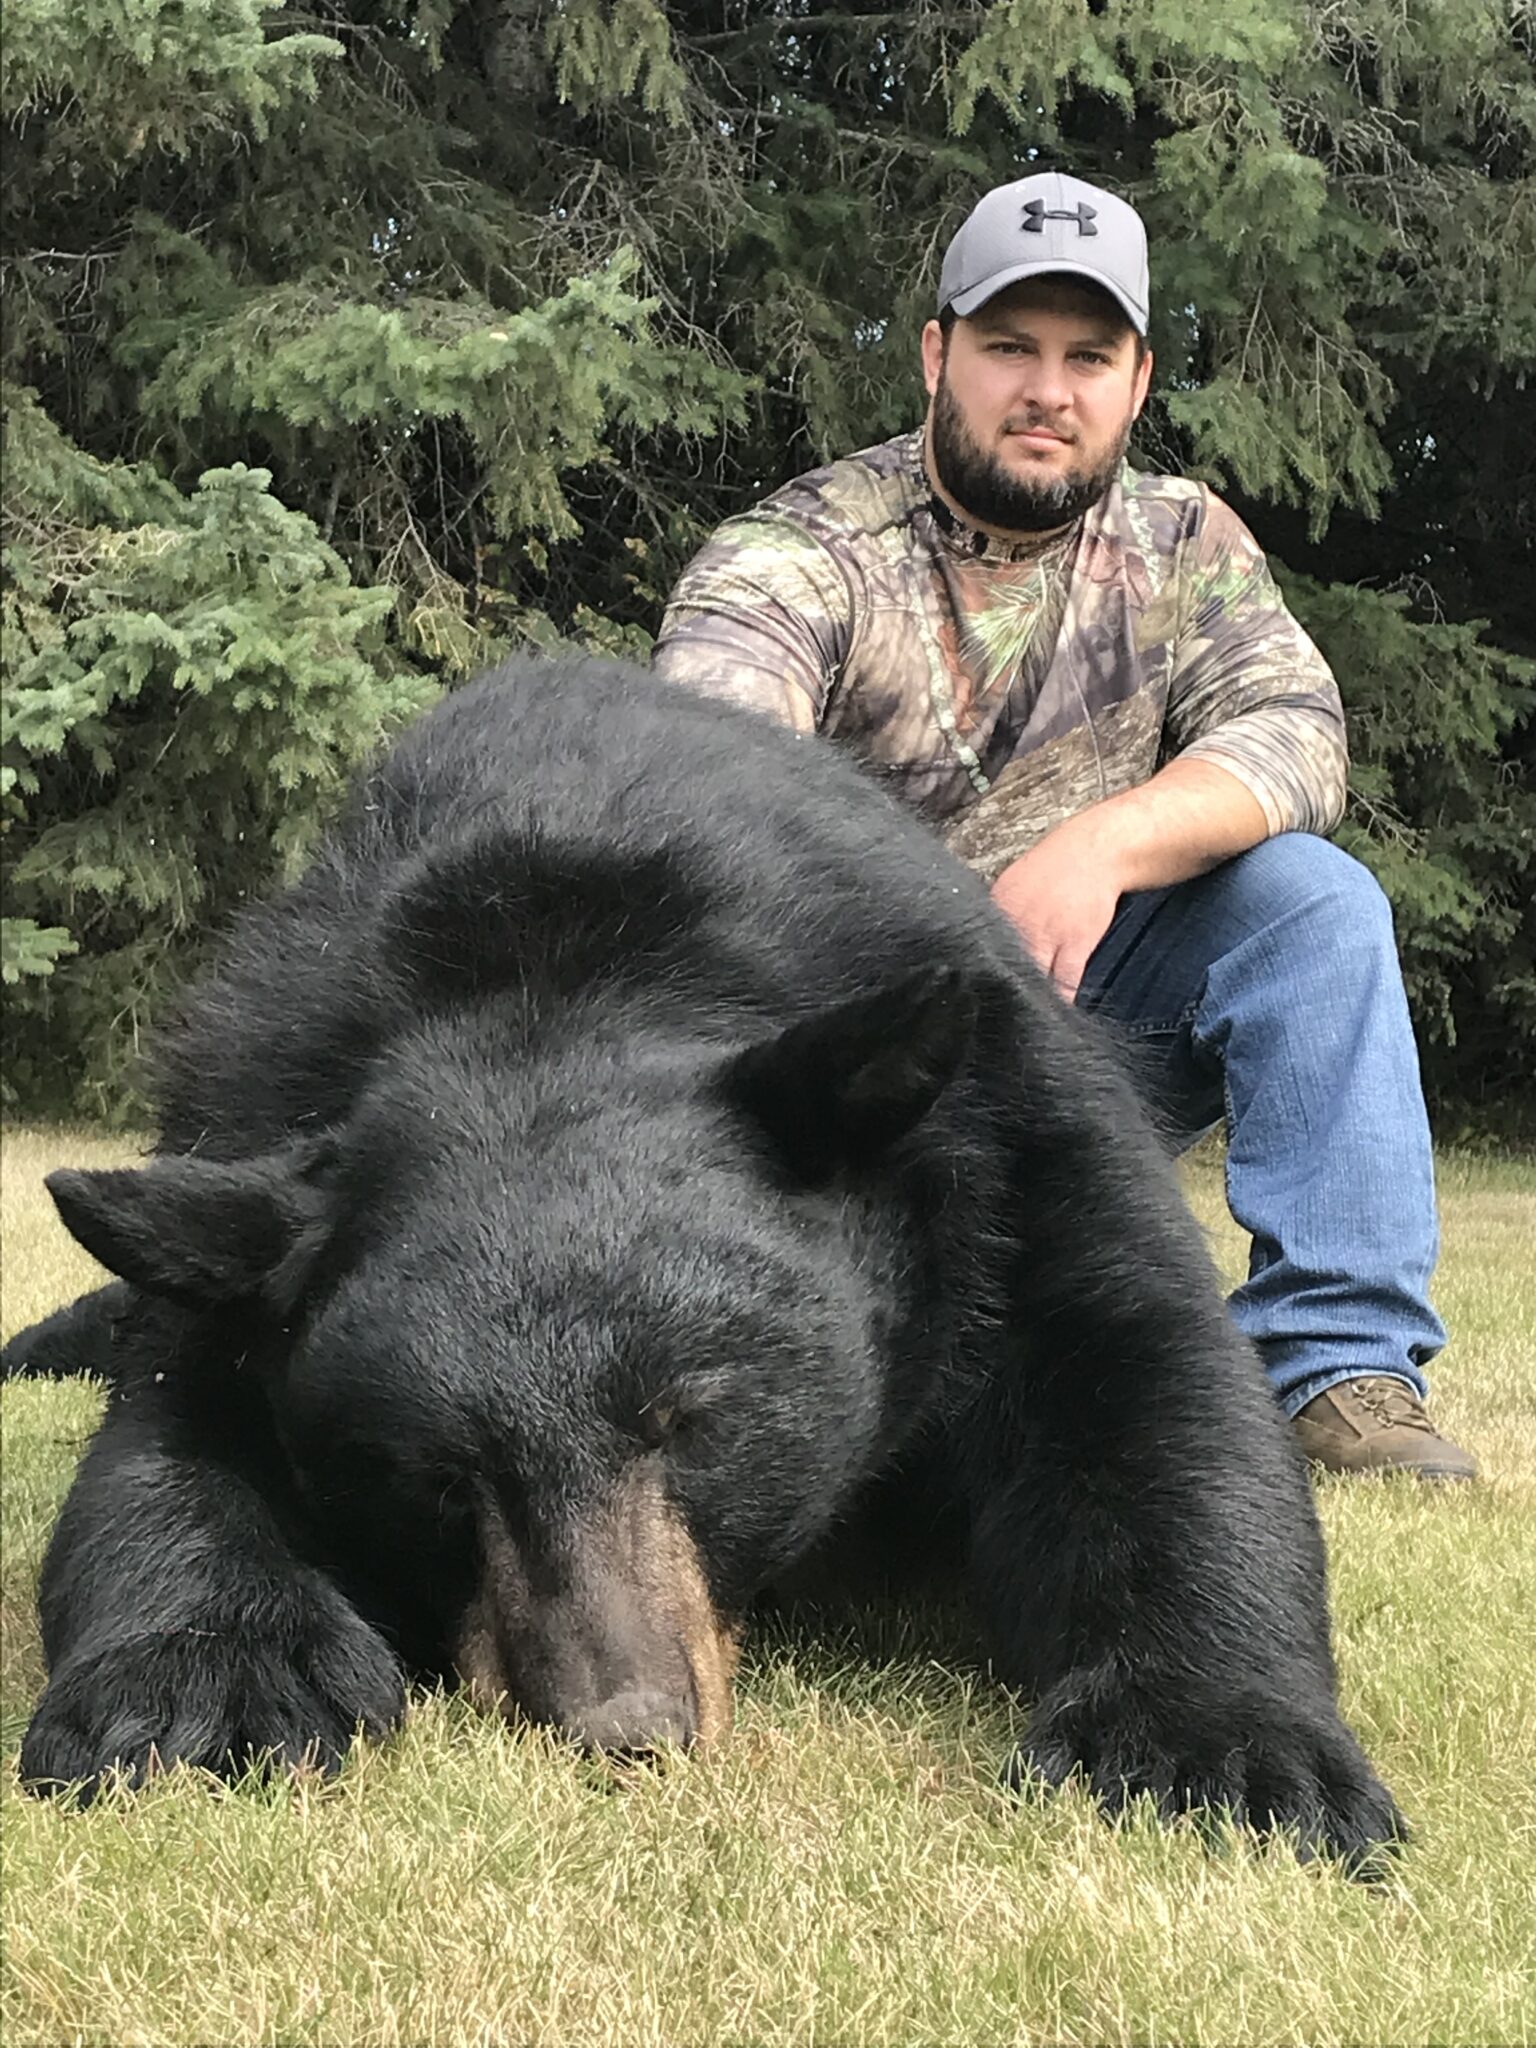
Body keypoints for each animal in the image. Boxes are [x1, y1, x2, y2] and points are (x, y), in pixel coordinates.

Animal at [9, 652, 1402, 1867]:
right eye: (437, 1477)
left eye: (692, 1423)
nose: (622, 1724)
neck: (557, 955)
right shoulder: (246, 1145)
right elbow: (165, 1441)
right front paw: (195, 1686)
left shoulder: (1010, 1130)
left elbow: (1150, 1377)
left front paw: (1219, 1749)